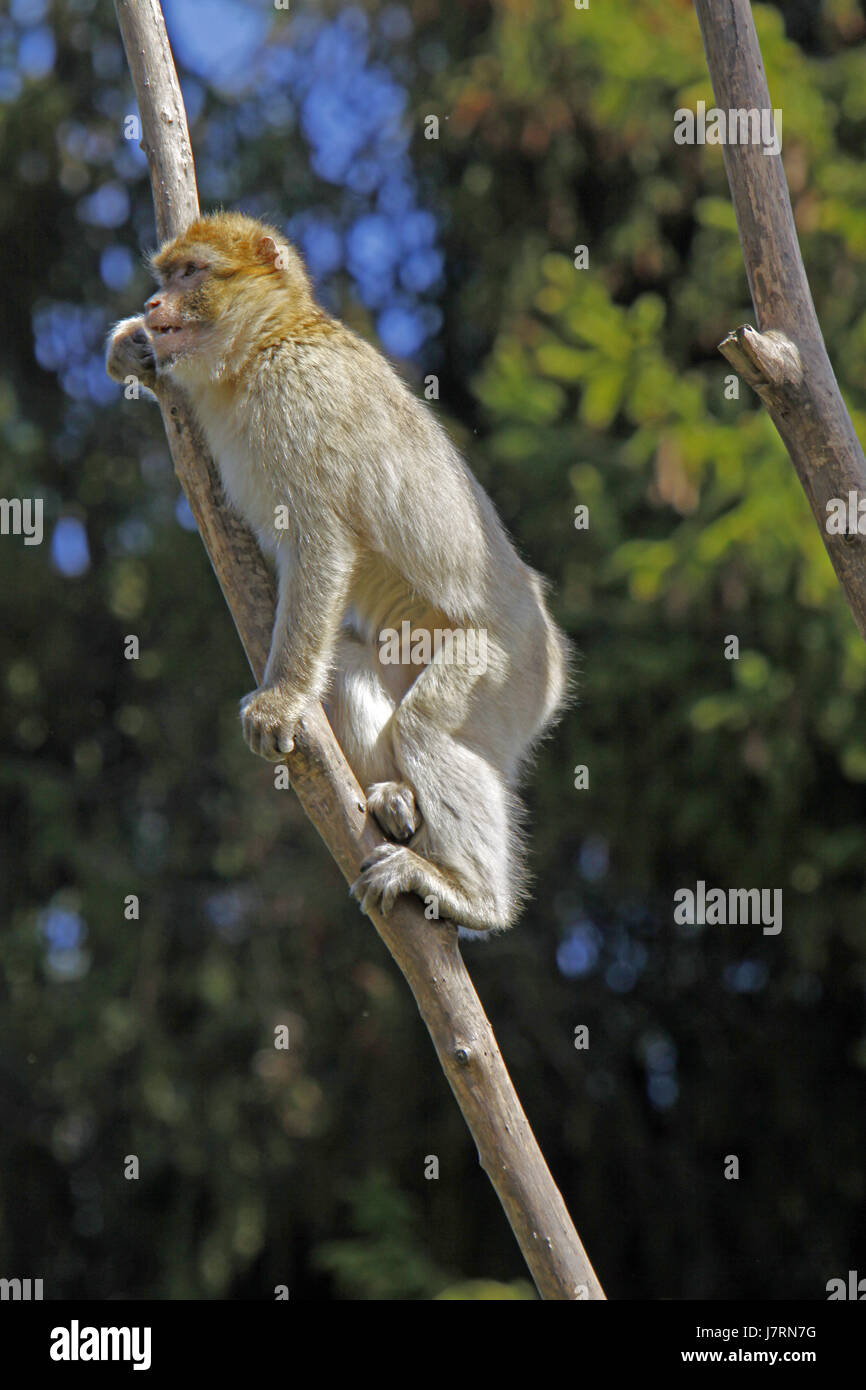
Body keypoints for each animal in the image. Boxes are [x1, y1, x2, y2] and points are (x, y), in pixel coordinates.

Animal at [106, 212, 571, 933]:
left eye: (190, 273)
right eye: (164, 276)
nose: (155, 304)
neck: (263, 346)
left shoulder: (298, 395)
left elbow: (321, 542)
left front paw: (280, 699)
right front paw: (137, 354)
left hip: (513, 668)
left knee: (428, 724)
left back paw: (471, 897)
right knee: (352, 666)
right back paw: (397, 803)